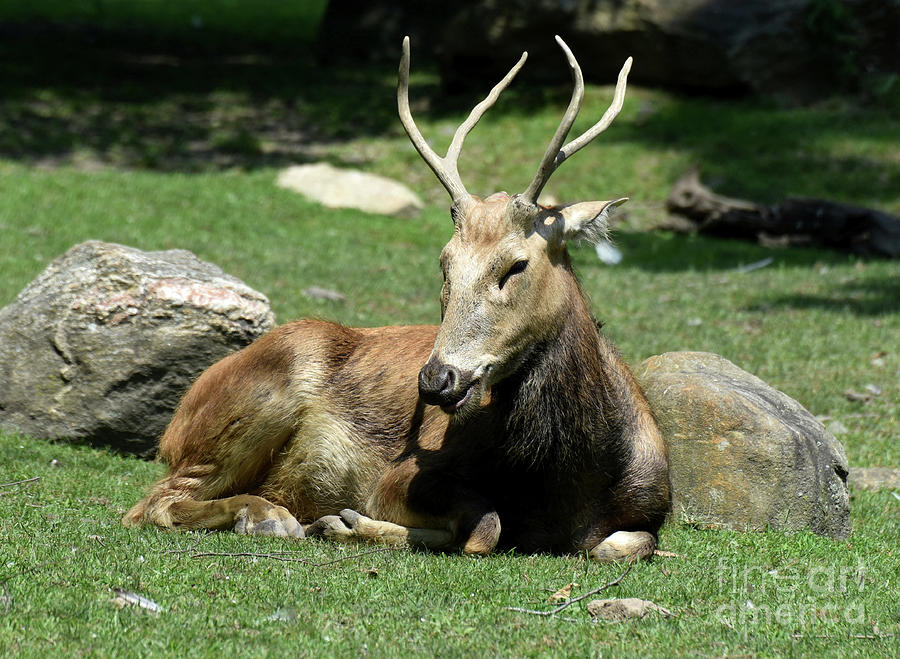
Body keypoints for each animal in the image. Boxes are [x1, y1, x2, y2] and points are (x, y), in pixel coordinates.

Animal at [123, 36, 670, 563]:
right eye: (445, 261)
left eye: (517, 264)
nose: (436, 379)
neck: (561, 490)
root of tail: (173, 425)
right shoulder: (402, 474)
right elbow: (487, 527)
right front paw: (343, 523)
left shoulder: (654, 509)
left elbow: (627, 545)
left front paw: (341, 524)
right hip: (252, 403)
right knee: (152, 503)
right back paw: (269, 516)